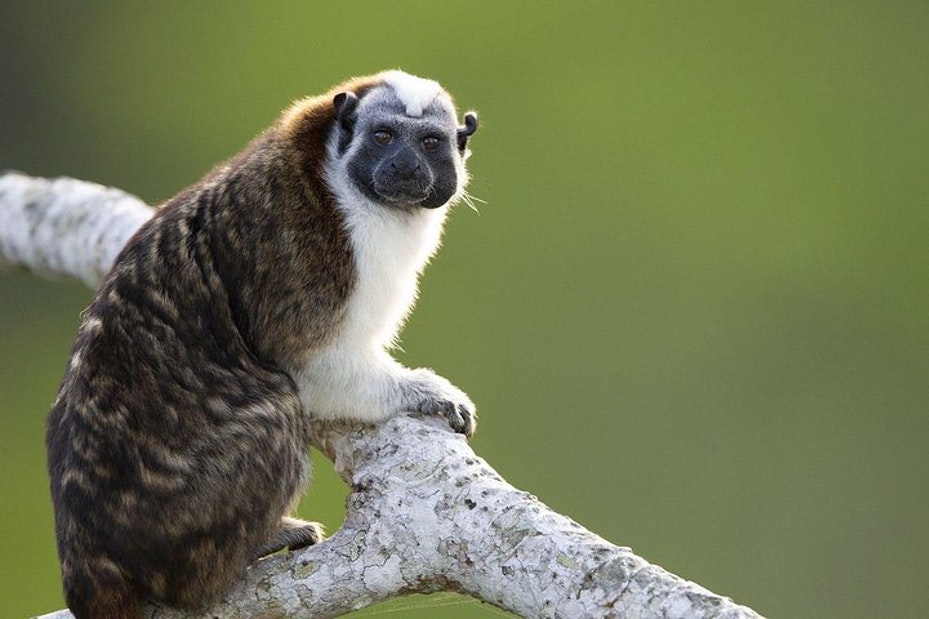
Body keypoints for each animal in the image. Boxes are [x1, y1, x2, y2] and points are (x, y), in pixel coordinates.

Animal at [45, 70, 479, 619]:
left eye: (429, 143)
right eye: (383, 137)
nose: (404, 166)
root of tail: (87, 562)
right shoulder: (308, 252)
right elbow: (308, 364)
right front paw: (427, 393)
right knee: (277, 410)